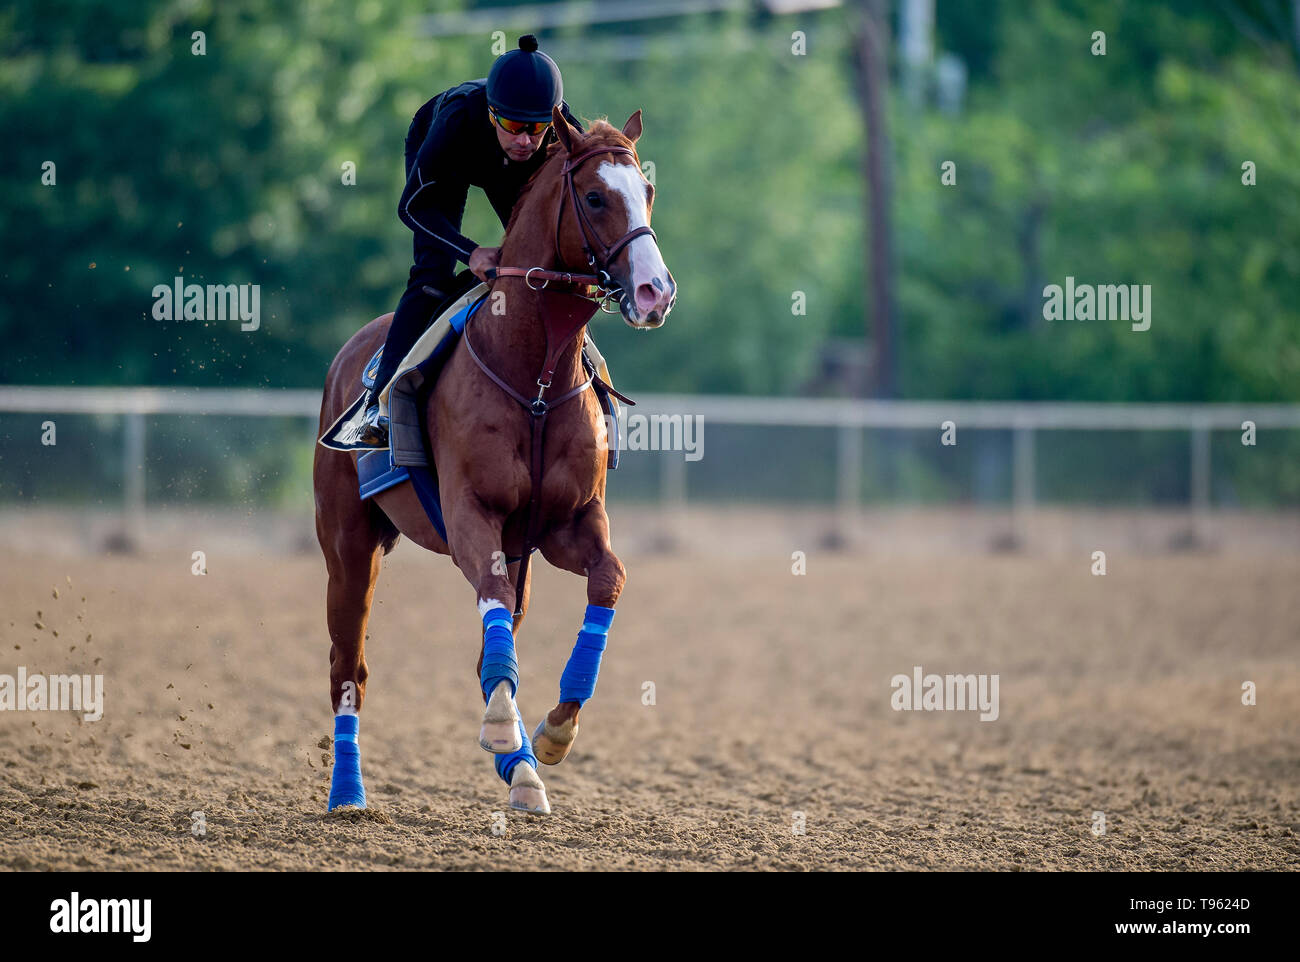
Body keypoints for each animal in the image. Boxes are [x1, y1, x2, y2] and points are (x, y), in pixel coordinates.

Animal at [313, 108, 676, 816]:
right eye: (596, 197)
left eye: (646, 191)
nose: (654, 291)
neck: (532, 375)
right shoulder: (469, 516)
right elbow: (493, 603)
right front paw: (511, 732)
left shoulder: (567, 523)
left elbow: (608, 579)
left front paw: (553, 733)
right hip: (347, 546)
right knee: (349, 668)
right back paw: (349, 791)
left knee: (491, 643)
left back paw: (522, 766)